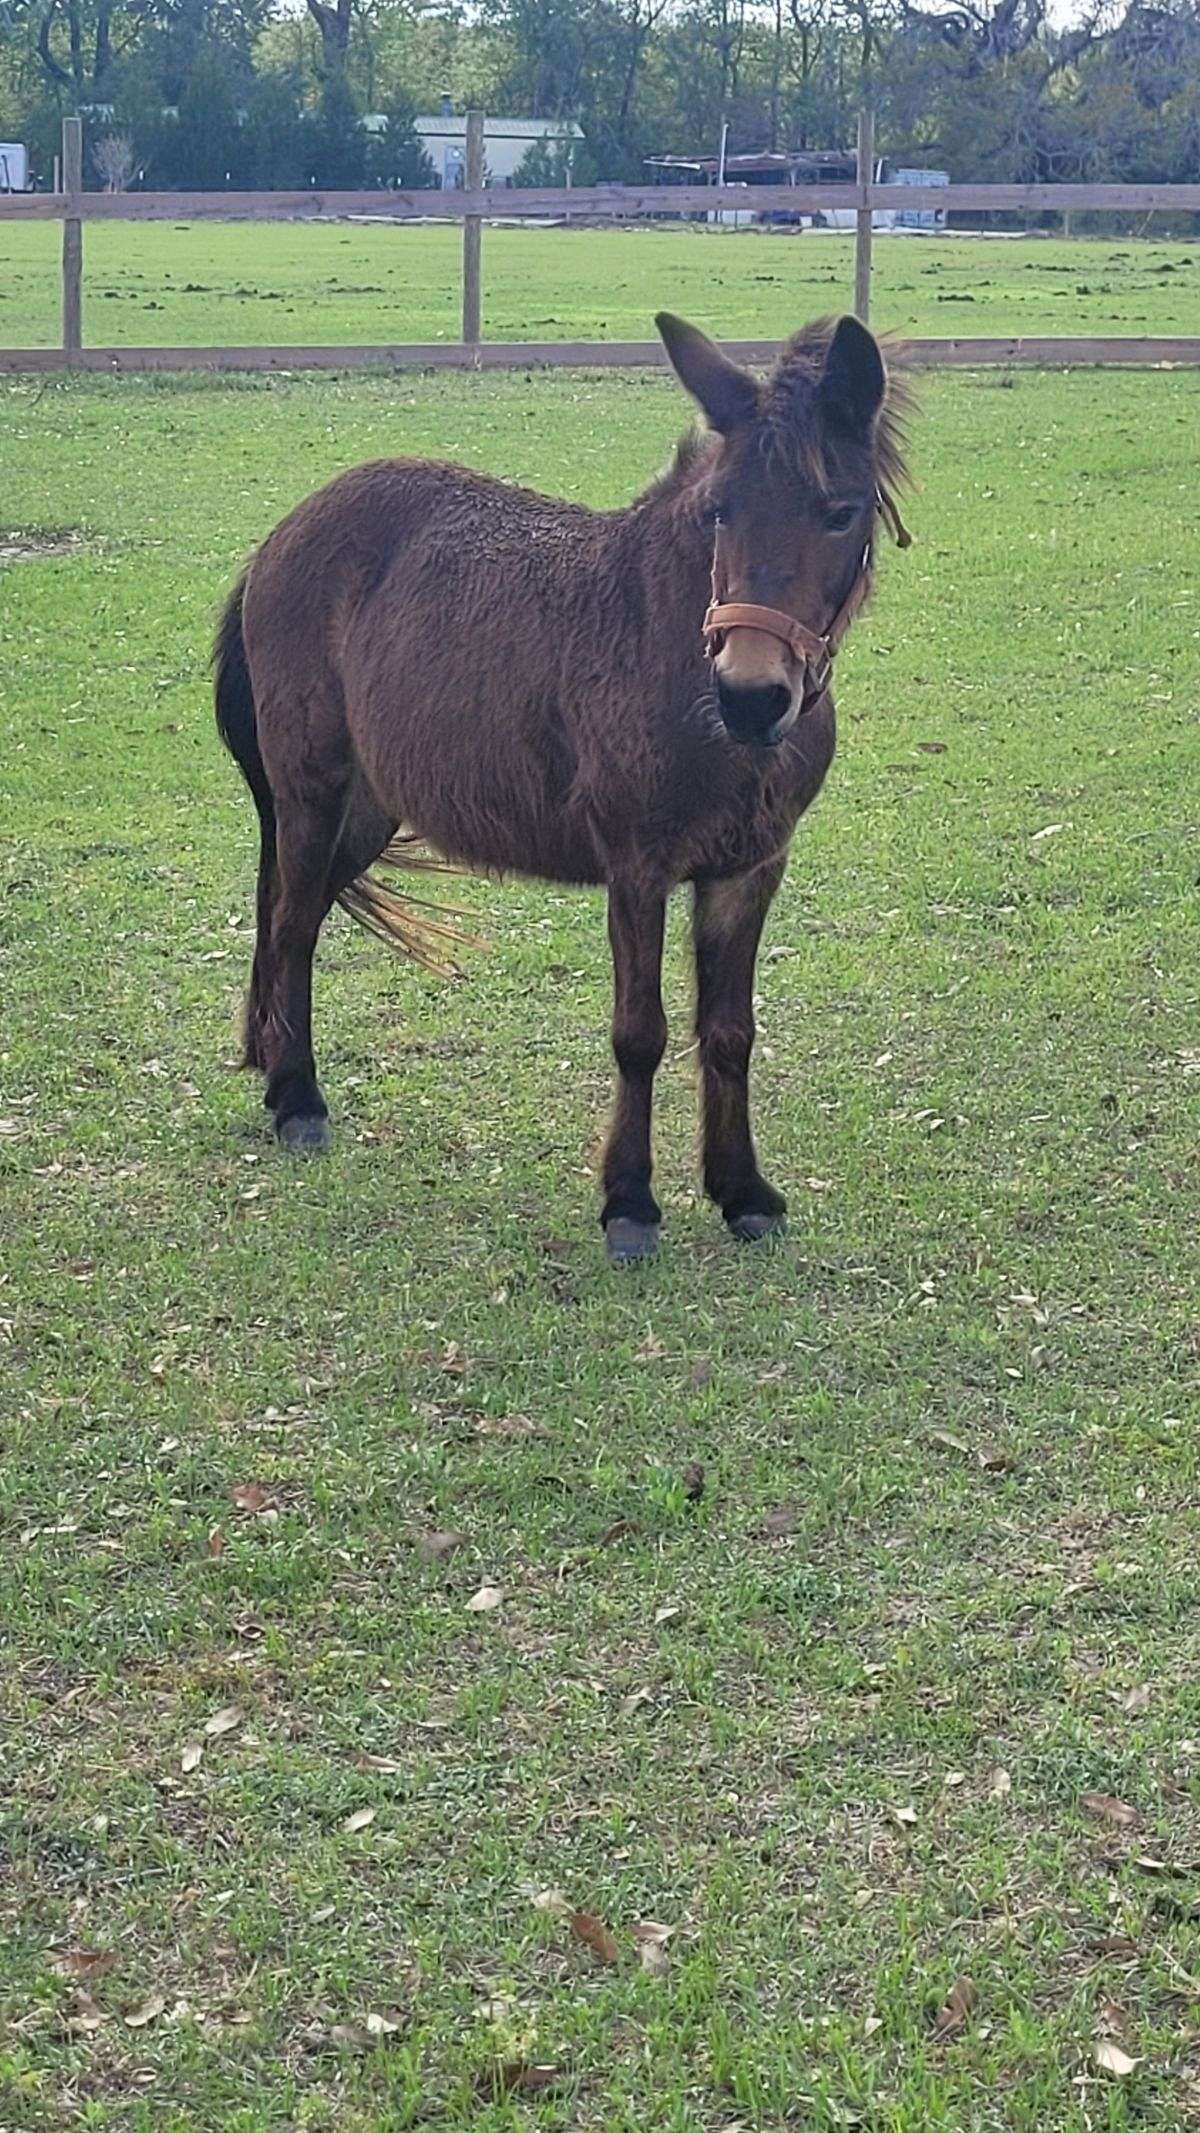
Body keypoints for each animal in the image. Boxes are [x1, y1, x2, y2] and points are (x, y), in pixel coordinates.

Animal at [215, 311, 910, 1263]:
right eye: (720, 509)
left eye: (840, 512)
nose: (750, 695)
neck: (669, 650)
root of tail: (282, 534)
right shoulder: (638, 866)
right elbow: (640, 1033)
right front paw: (630, 1203)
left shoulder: (748, 869)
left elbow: (729, 1031)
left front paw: (742, 1191)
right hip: (311, 790)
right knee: (289, 927)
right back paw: (298, 1102)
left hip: (366, 807)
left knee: (299, 918)